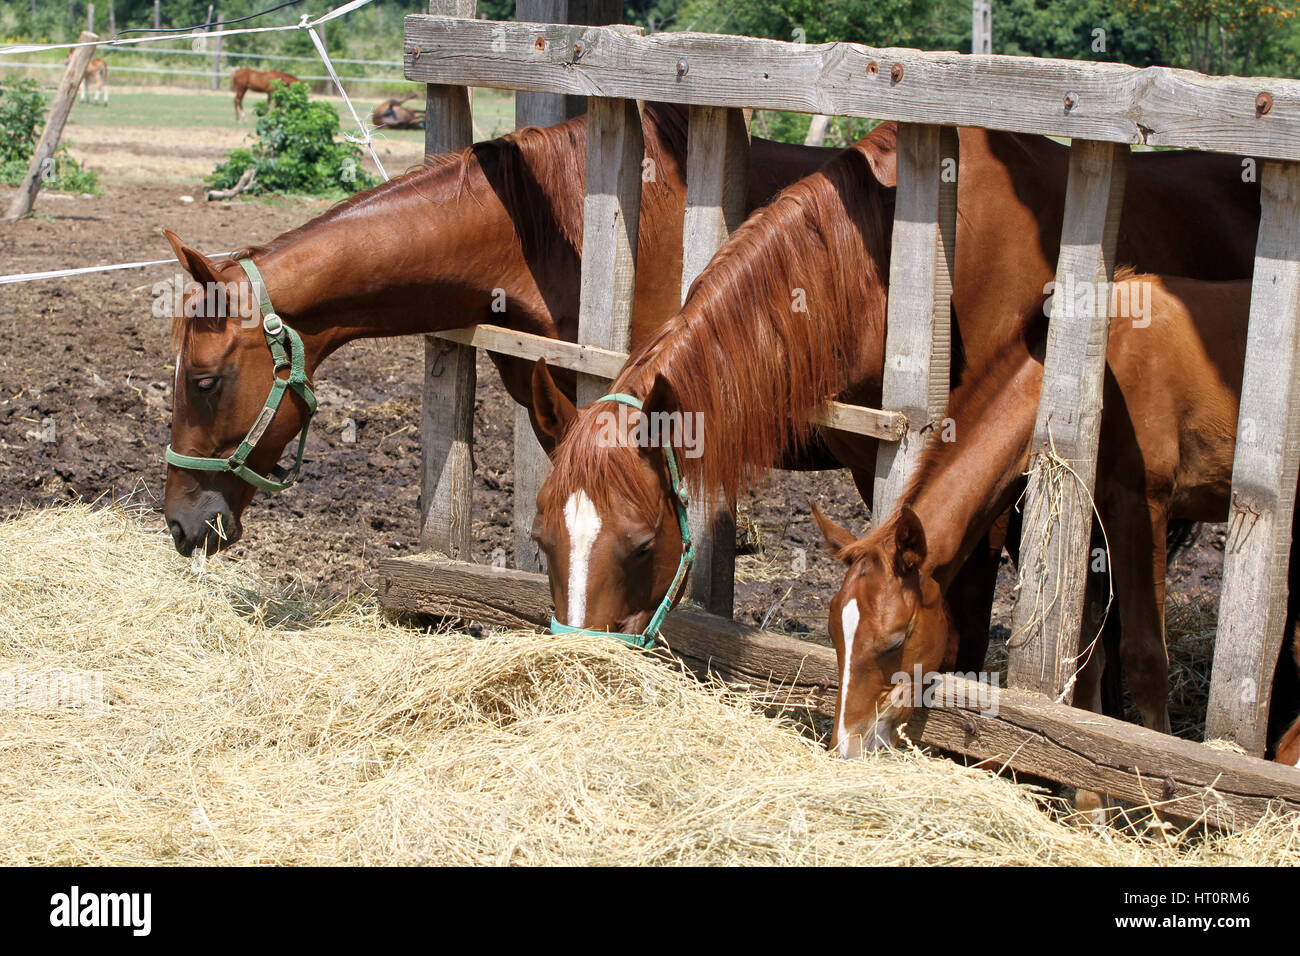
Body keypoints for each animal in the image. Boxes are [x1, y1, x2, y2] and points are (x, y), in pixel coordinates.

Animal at [813, 275, 1300, 766]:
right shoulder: (1091, 522)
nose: (846, 747)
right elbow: (1086, 658)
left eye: (894, 642)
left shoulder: (1142, 505)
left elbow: (1145, 658)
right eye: (835, 631)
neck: (1104, 377)